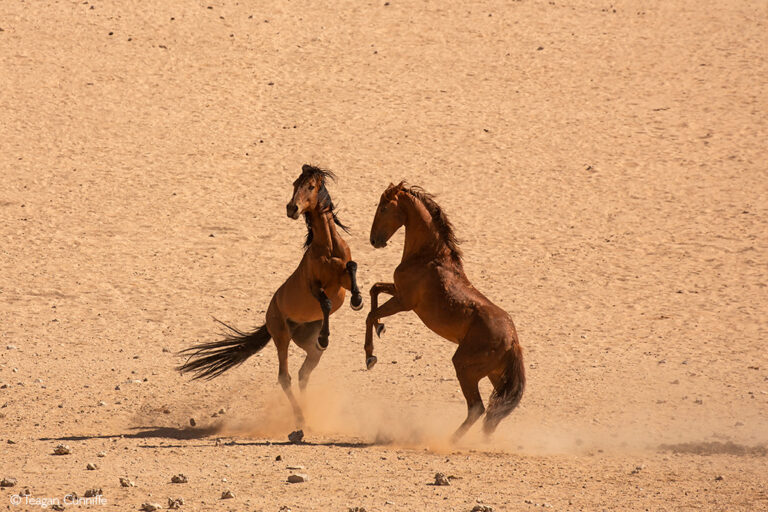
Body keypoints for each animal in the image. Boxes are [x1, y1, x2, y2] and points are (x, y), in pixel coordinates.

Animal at [177, 164, 363, 431]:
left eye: (311, 186)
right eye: (294, 183)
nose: (291, 208)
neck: (327, 248)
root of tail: (268, 318)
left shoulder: (342, 280)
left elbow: (353, 267)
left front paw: (358, 301)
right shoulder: (314, 286)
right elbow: (326, 302)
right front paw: (326, 337)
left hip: (304, 340)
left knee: (303, 373)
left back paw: (306, 415)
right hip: (282, 337)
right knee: (285, 377)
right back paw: (301, 418)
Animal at [365, 182, 525, 441]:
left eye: (384, 207)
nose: (374, 240)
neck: (428, 257)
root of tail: (513, 341)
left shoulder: (404, 302)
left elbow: (370, 314)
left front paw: (370, 356)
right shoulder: (398, 292)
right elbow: (374, 290)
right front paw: (381, 328)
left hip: (464, 368)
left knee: (477, 408)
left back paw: (448, 442)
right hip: (495, 375)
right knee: (493, 413)